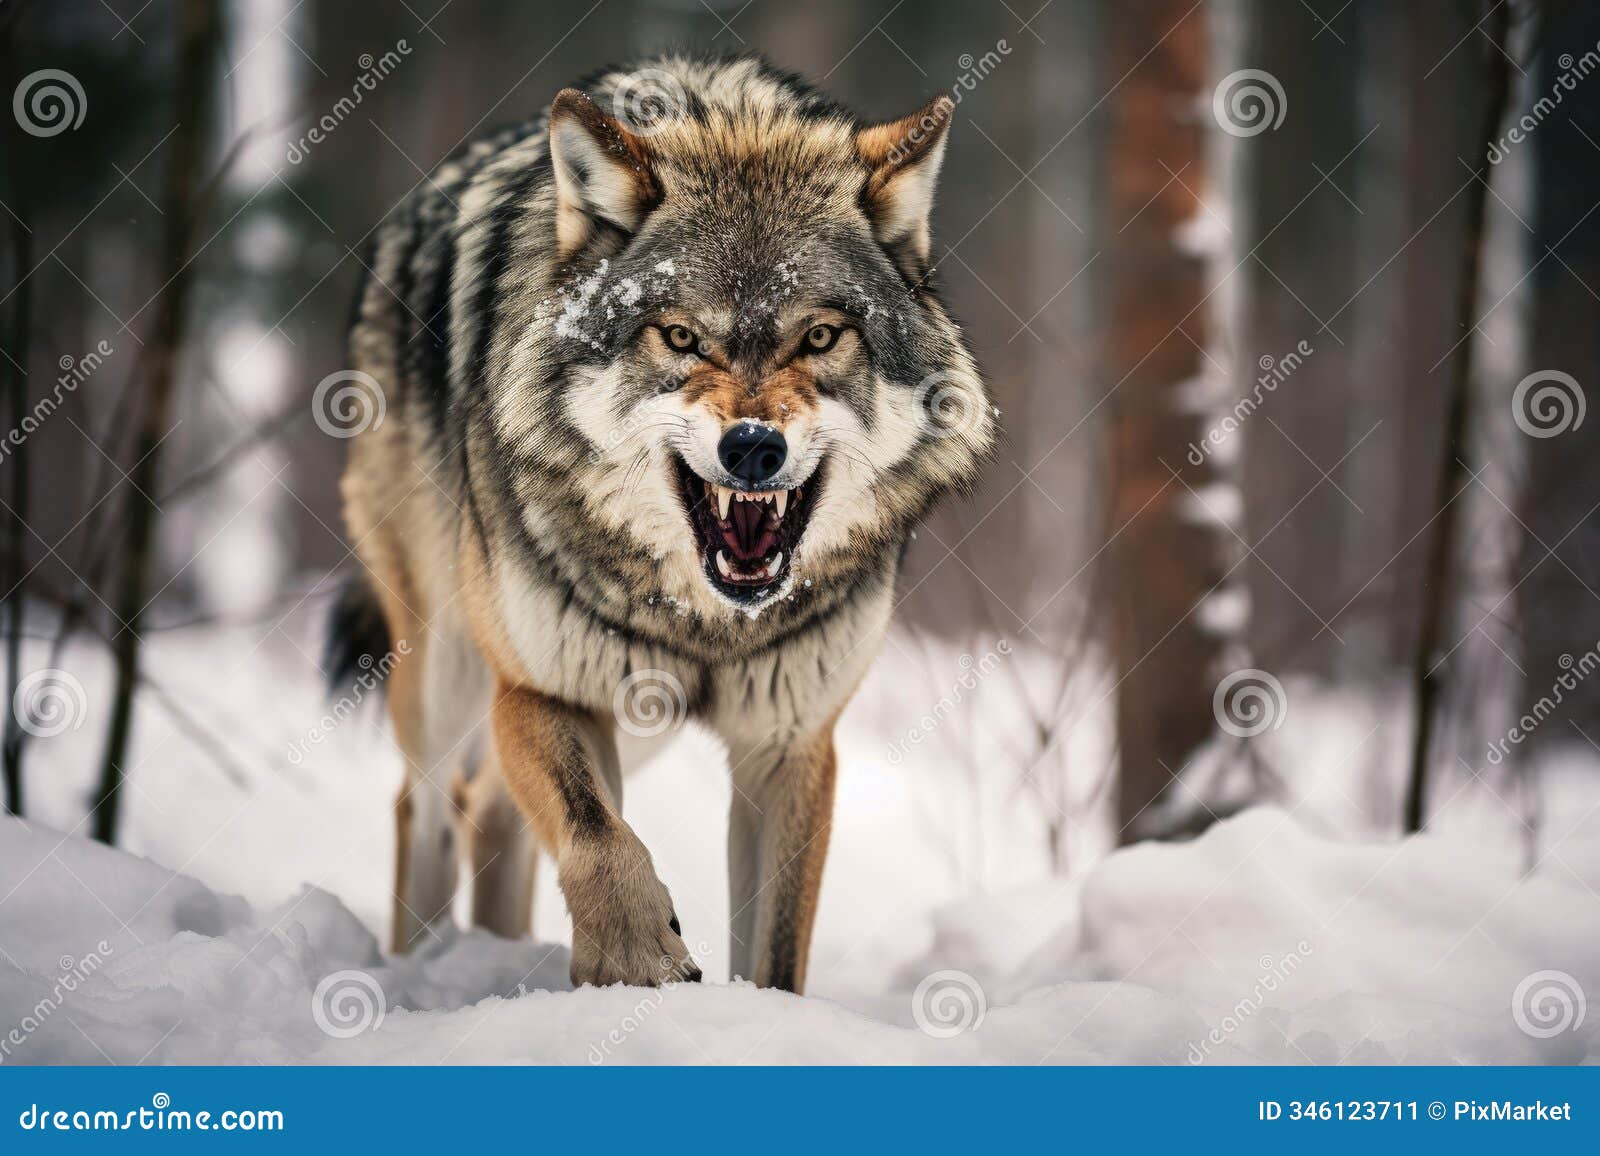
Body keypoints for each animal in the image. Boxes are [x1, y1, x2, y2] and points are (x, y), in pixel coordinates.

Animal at [330, 54, 994, 993]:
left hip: (636, 720)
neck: (710, 622)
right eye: (680, 337)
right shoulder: (542, 690)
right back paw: (413, 973)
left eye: (820, 336)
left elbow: (775, 952)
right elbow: (598, 834)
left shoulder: (790, 747)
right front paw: (638, 956)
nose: (752, 448)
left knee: (491, 810)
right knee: (424, 806)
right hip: (448, 671)